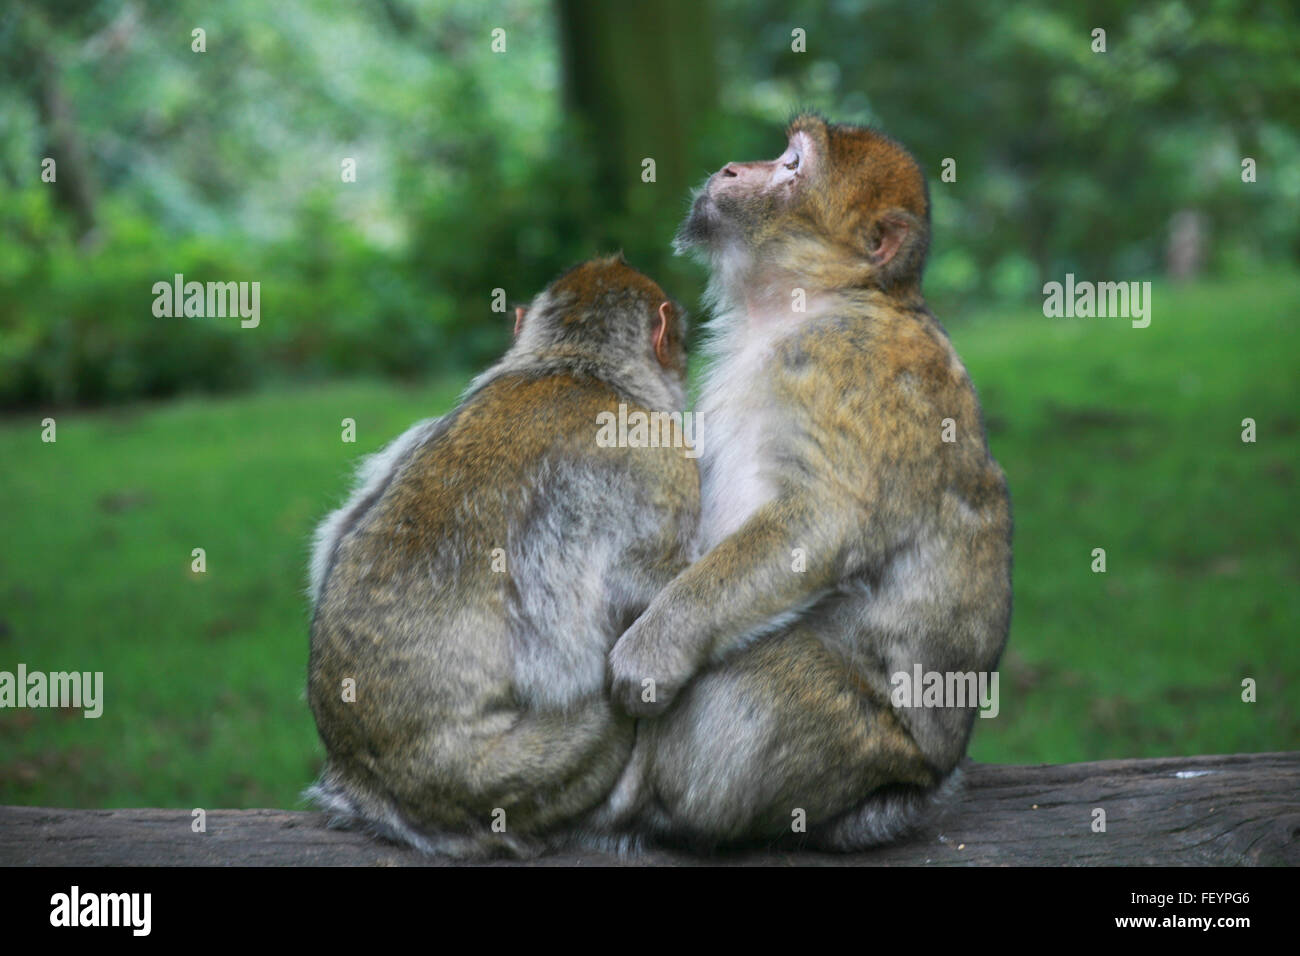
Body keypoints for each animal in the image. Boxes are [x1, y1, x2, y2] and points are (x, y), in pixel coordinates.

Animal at [600, 114, 1013, 851]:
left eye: (793, 165)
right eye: (779, 152)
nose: (733, 169)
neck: (817, 301)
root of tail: (925, 778)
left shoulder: (839, 363)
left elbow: (826, 518)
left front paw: (654, 646)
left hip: (859, 748)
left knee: (757, 686)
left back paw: (664, 817)